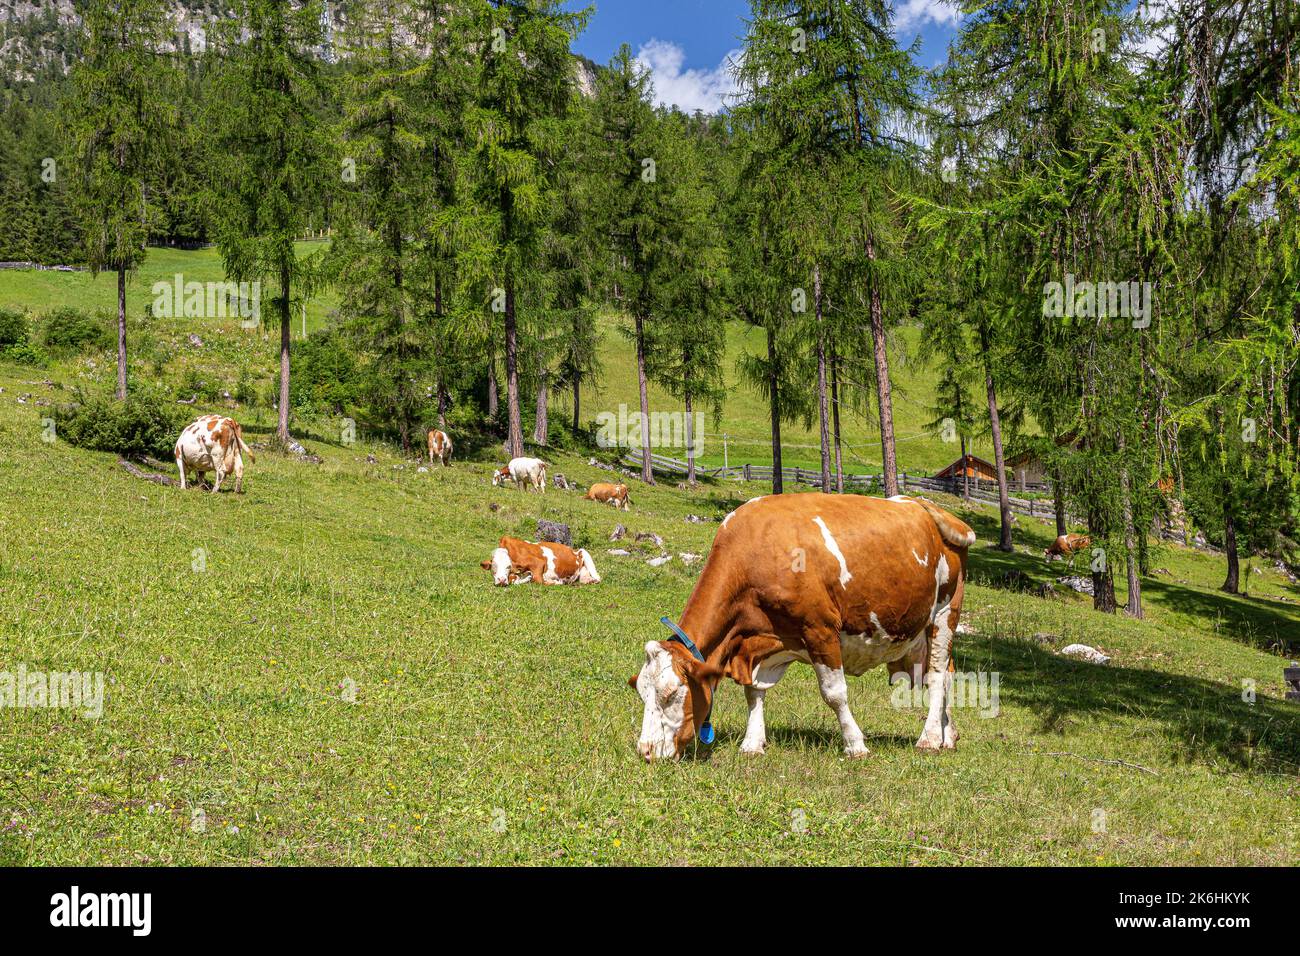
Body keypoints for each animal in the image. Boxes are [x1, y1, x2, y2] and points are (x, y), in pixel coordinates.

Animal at [629, 493, 974, 761]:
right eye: (641, 694)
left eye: (671, 694)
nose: (645, 751)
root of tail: (922, 504)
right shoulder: (759, 642)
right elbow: (753, 692)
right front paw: (752, 743)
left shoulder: (820, 628)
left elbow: (834, 693)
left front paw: (855, 745)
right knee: (943, 674)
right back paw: (949, 735)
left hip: (946, 612)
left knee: (938, 675)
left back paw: (929, 738)